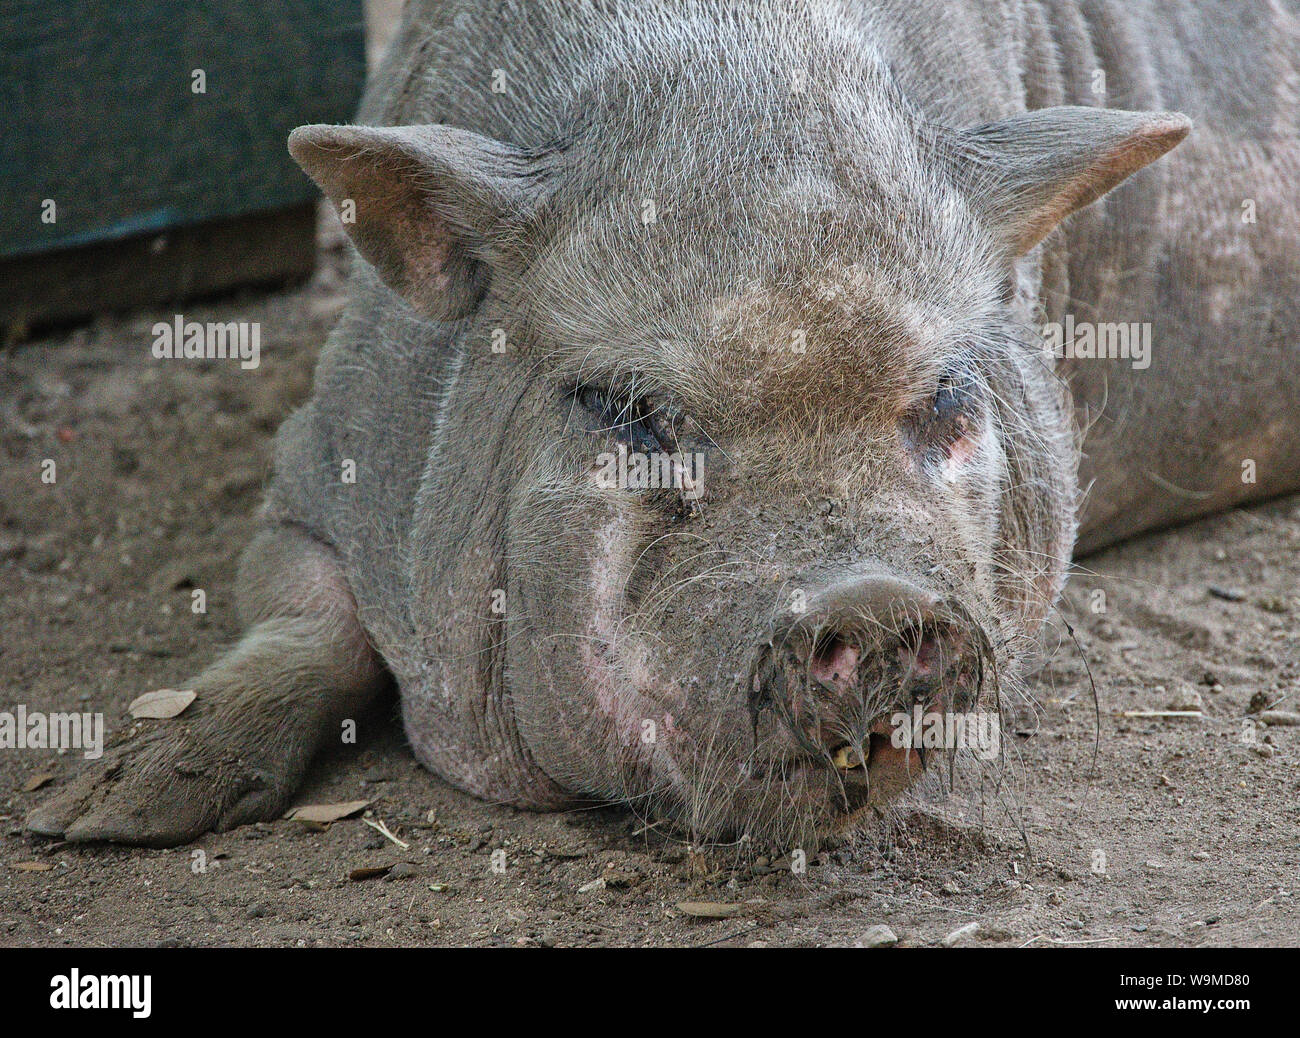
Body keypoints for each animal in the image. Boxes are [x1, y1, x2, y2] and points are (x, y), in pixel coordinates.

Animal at [30, 0, 1300, 848]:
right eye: (629, 408)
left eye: (947, 394)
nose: (869, 601)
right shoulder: (312, 466)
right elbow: (304, 622)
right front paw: (97, 818)